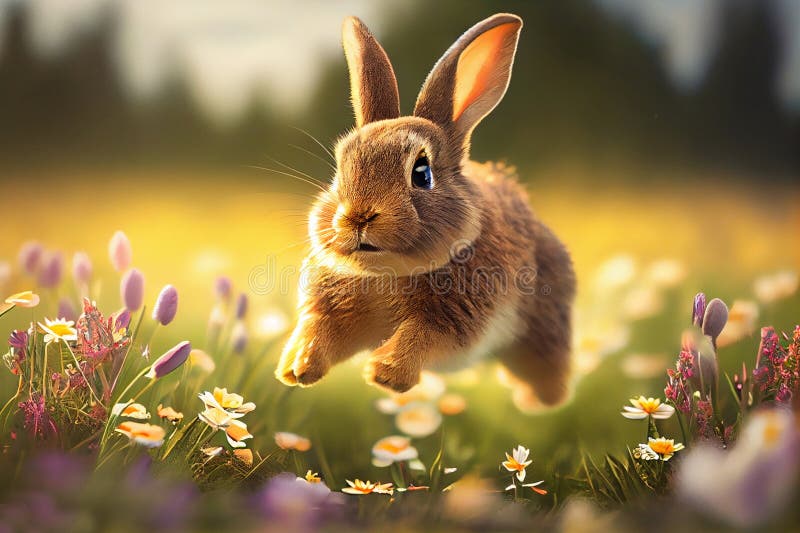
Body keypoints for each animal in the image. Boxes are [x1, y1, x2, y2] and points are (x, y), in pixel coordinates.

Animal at [276, 13, 576, 407]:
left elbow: (419, 337)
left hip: (542, 330)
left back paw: (538, 400)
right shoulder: (331, 308)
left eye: (422, 173)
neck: (388, 270)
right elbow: (319, 329)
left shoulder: (453, 318)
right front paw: (298, 368)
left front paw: (383, 375)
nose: (359, 216)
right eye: (340, 169)